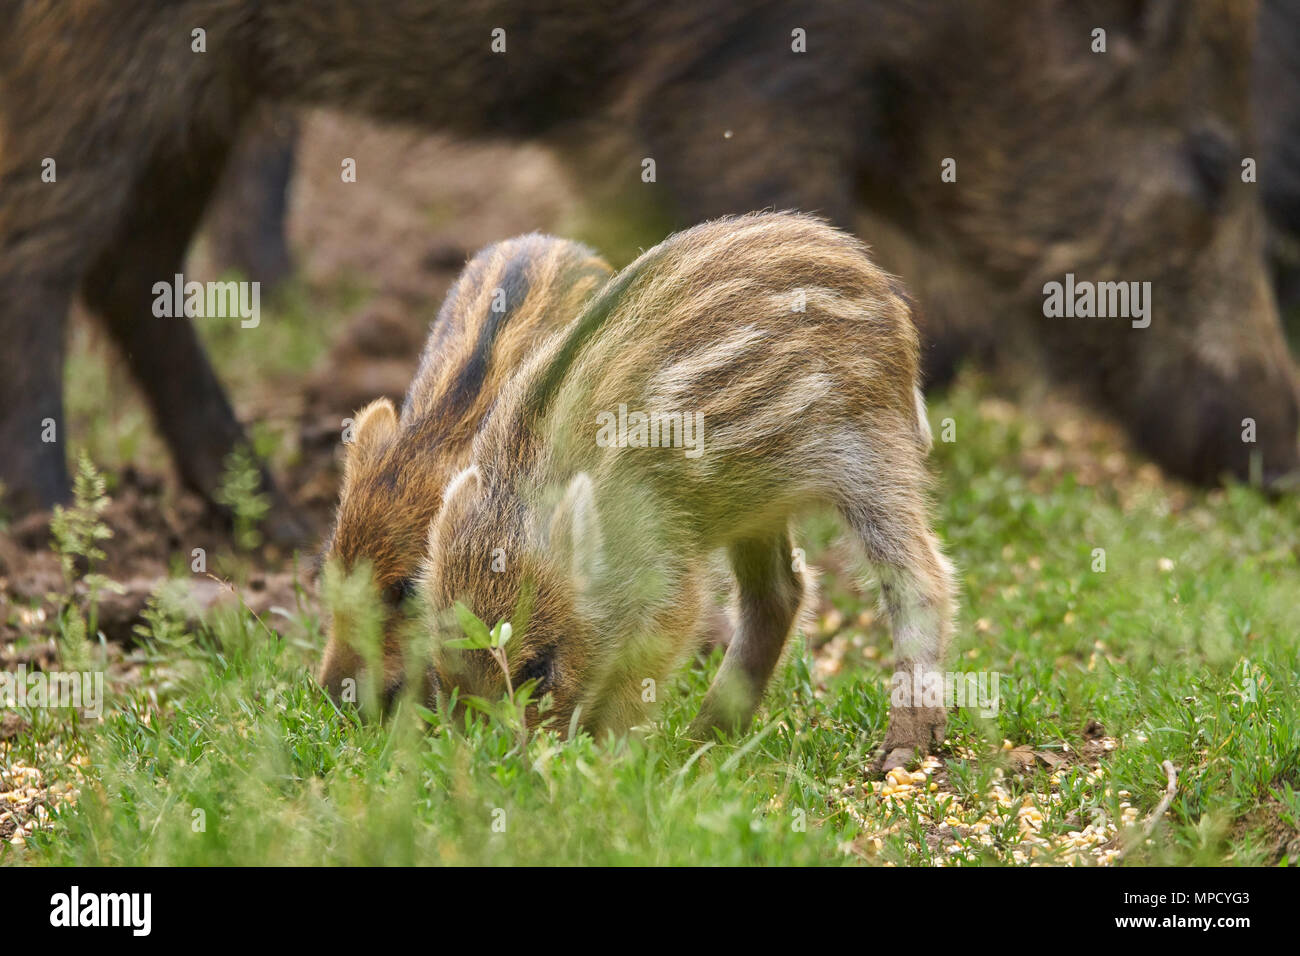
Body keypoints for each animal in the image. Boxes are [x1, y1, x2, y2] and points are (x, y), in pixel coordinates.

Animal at [414, 213, 957, 771]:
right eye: (440, 673)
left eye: (538, 669)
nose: (491, 768)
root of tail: (869, 270)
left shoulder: (670, 579)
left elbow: (644, 668)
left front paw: (612, 760)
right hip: (754, 503)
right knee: (781, 593)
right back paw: (707, 735)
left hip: (873, 455)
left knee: (921, 577)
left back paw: (903, 745)